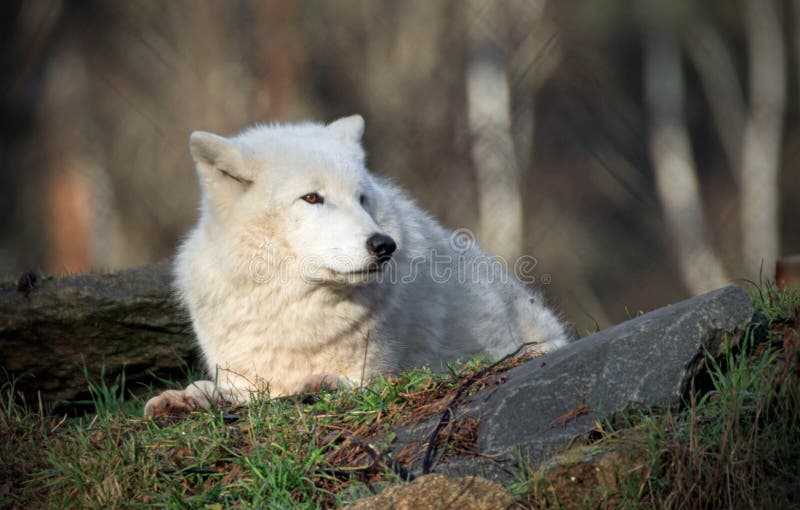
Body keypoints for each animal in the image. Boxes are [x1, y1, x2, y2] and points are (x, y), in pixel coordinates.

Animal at [144, 115, 568, 417]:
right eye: (311, 198)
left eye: (362, 199)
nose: (384, 245)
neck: (291, 309)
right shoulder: (246, 378)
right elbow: (223, 390)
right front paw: (183, 397)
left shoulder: (375, 374)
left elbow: (345, 382)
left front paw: (321, 383)